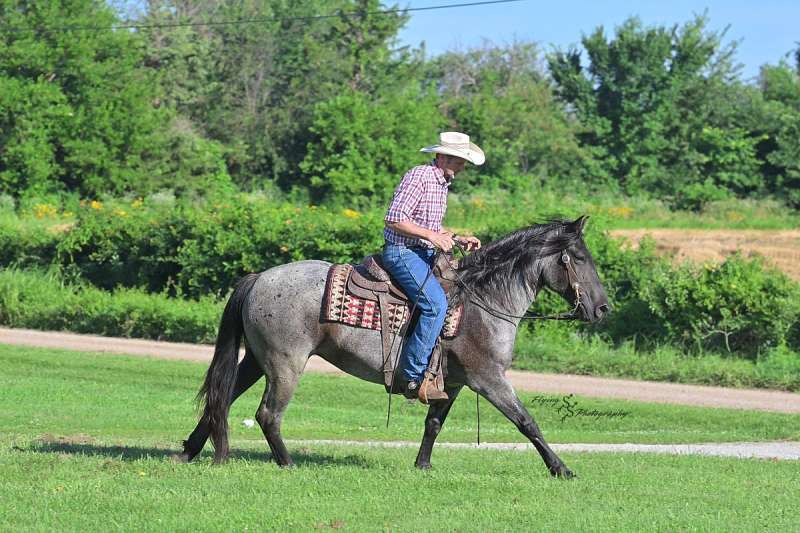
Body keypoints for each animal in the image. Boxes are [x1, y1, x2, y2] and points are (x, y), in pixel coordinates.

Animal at [176, 216, 610, 478]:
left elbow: (434, 424)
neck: (483, 301)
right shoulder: (489, 379)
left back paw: (189, 451)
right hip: (285, 365)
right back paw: (287, 463)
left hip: (255, 360)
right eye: (579, 257)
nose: (603, 309)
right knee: (267, 414)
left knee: (222, 400)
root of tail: (259, 278)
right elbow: (526, 421)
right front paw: (561, 468)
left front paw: (422, 465)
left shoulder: (453, 383)